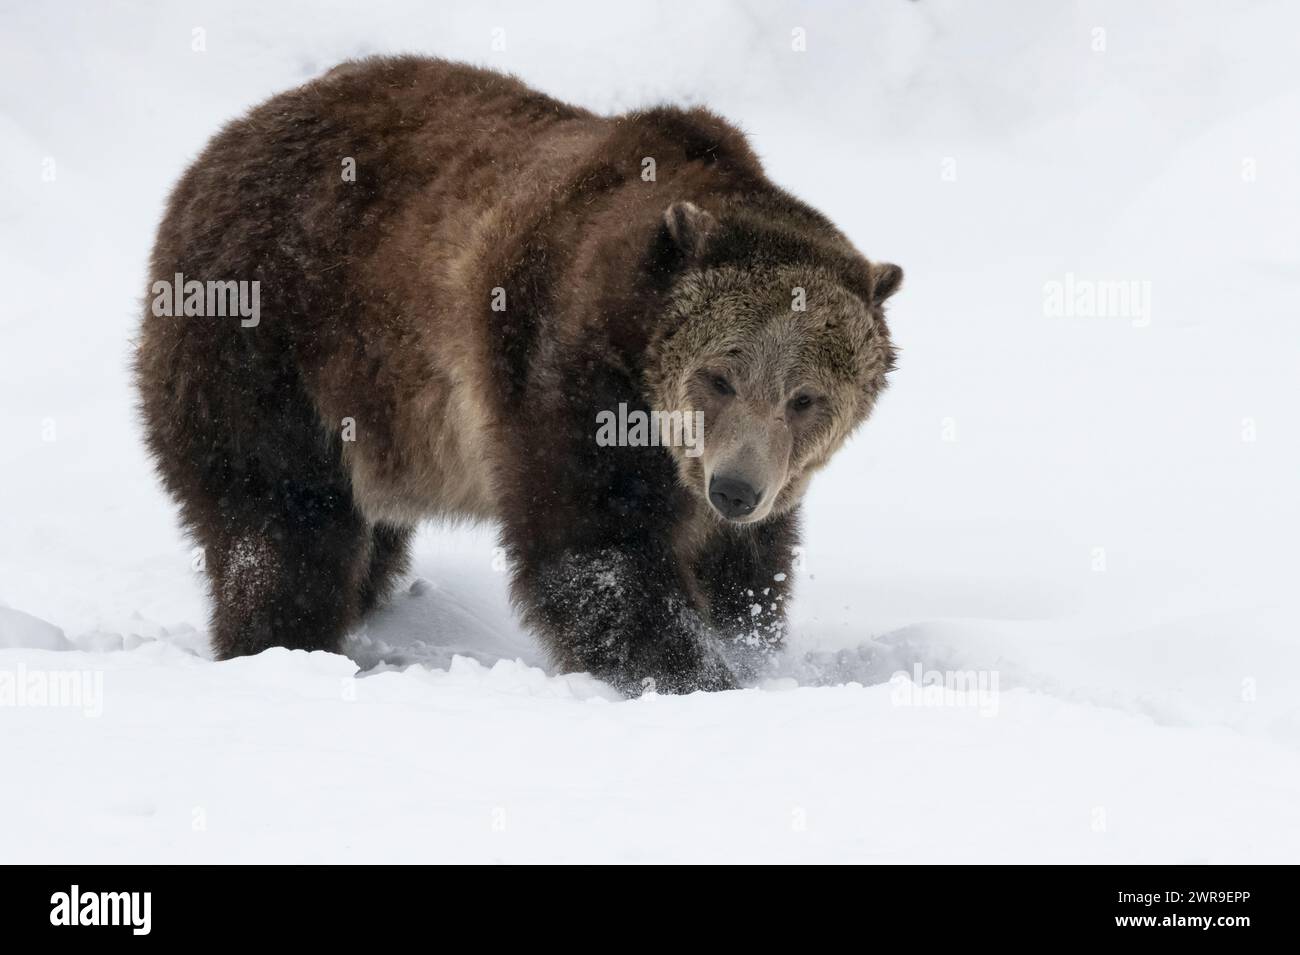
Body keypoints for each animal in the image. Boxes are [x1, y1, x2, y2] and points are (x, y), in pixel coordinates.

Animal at [133, 56, 902, 694]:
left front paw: (744, 646)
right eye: (719, 377)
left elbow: (748, 572)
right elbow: (594, 550)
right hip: (269, 331)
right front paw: (698, 674)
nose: (736, 490)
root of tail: (222, 144)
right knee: (281, 517)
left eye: (805, 398)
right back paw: (283, 646)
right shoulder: (562, 368)